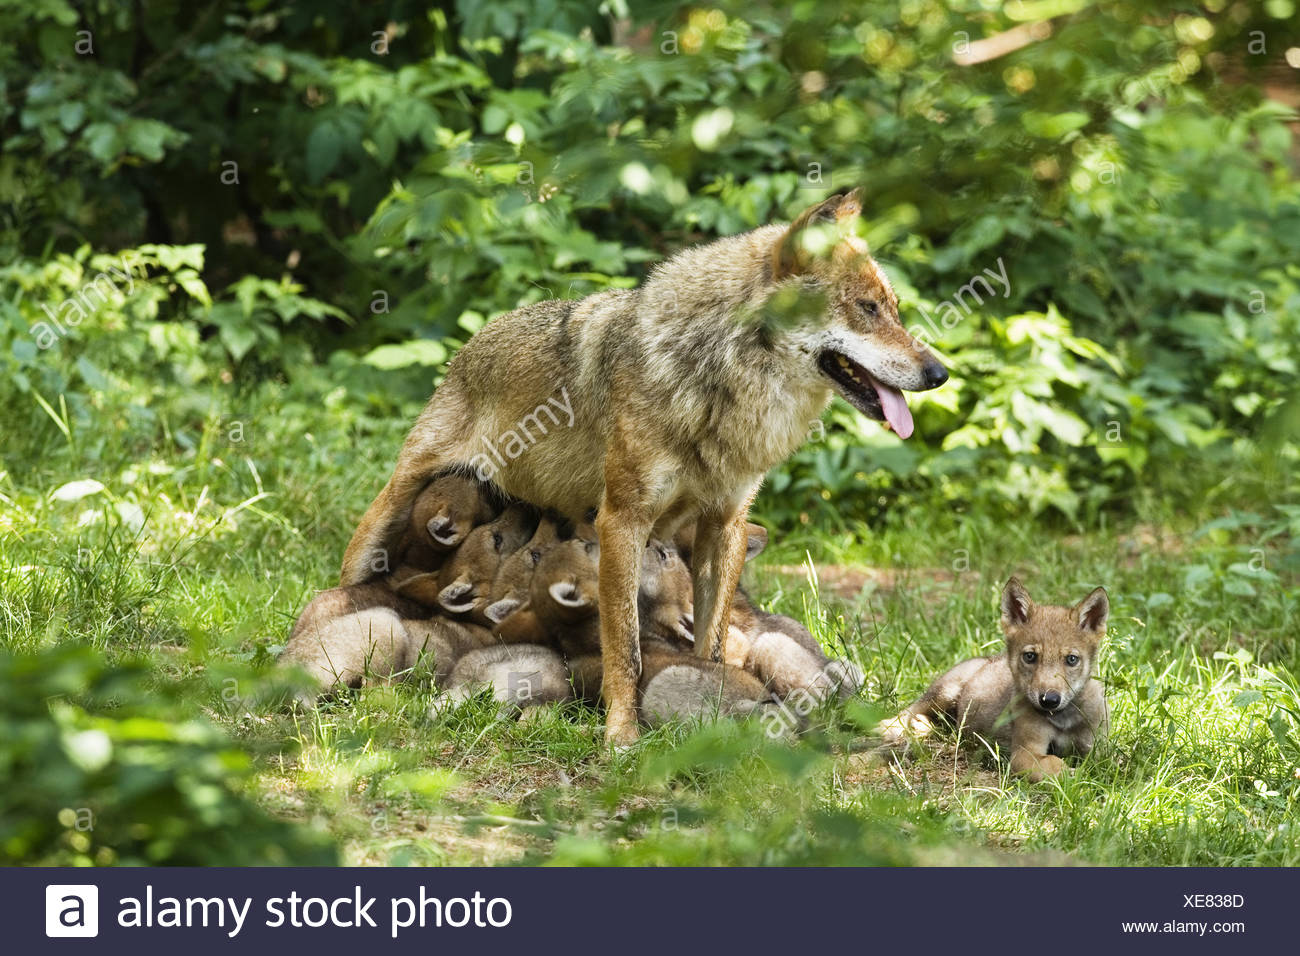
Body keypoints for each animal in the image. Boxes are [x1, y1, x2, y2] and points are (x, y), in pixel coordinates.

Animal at [340, 188, 948, 745]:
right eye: (867, 309)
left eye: (893, 308)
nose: (939, 372)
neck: (717, 380)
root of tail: (475, 341)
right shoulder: (622, 522)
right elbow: (626, 651)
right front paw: (622, 738)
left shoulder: (723, 526)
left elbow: (711, 639)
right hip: (383, 521)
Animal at [879, 577, 1110, 782]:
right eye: (1030, 656)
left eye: (1071, 659)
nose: (1049, 700)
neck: (1063, 719)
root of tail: (986, 659)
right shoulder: (1024, 753)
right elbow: (1055, 764)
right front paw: (1076, 776)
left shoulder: (1096, 746)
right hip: (944, 693)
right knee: (911, 709)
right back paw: (891, 727)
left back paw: (922, 727)